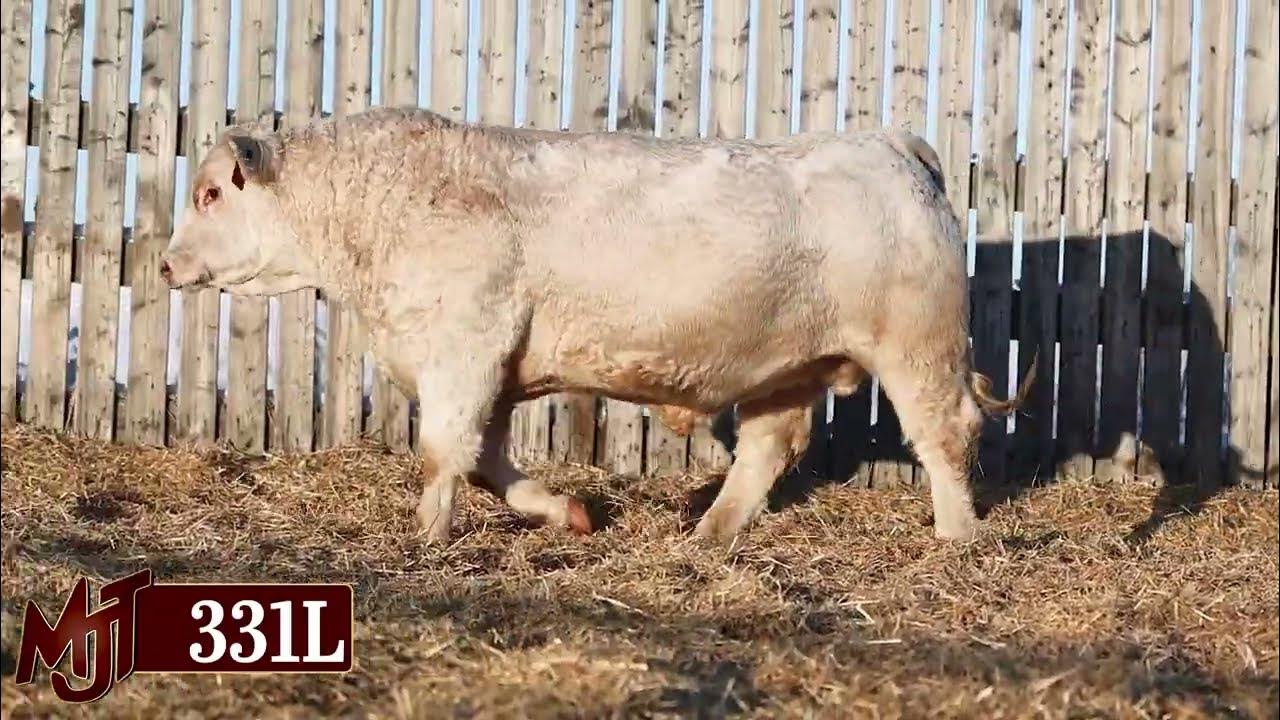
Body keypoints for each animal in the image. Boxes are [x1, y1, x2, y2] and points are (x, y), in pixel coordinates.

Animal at [160, 106, 1032, 545]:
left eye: (210, 193)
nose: (165, 265)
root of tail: (889, 142)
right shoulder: (497, 370)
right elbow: (486, 461)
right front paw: (565, 512)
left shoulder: (465, 350)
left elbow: (442, 452)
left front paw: (428, 536)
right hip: (787, 365)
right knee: (767, 449)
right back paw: (709, 533)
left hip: (916, 347)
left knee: (944, 432)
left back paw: (957, 536)